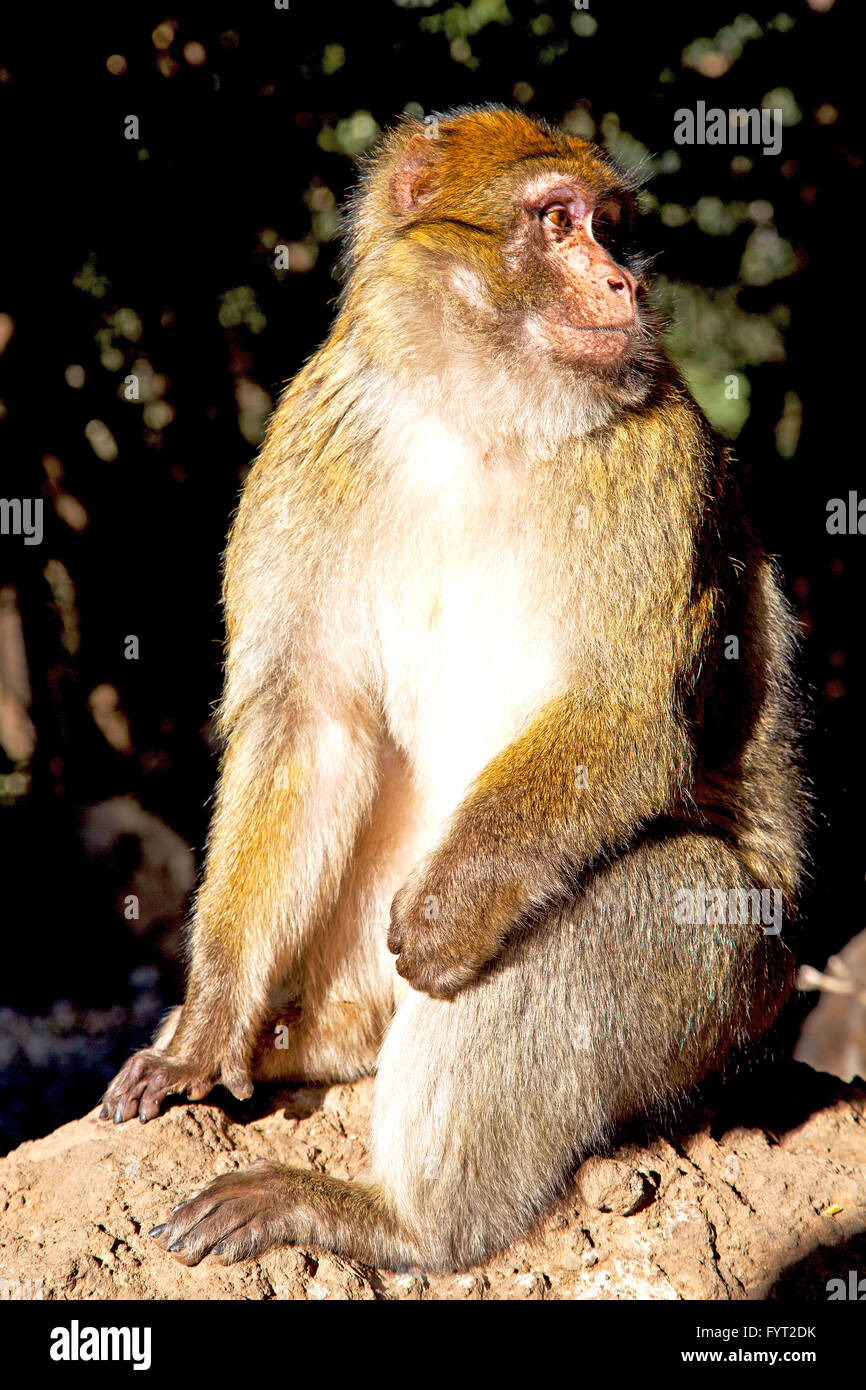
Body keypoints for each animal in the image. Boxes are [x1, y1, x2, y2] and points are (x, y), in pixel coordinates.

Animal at [99, 107, 809, 1273]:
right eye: (555, 221)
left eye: (610, 227)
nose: (621, 283)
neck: (477, 413)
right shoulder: (317, 430)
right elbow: (308, 723)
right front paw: (207, 1027)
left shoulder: (656, 459)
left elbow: (621, 718)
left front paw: (443, 910)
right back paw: (307, 1044)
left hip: (732, 1007)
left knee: (644, 897)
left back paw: (400, 1218)